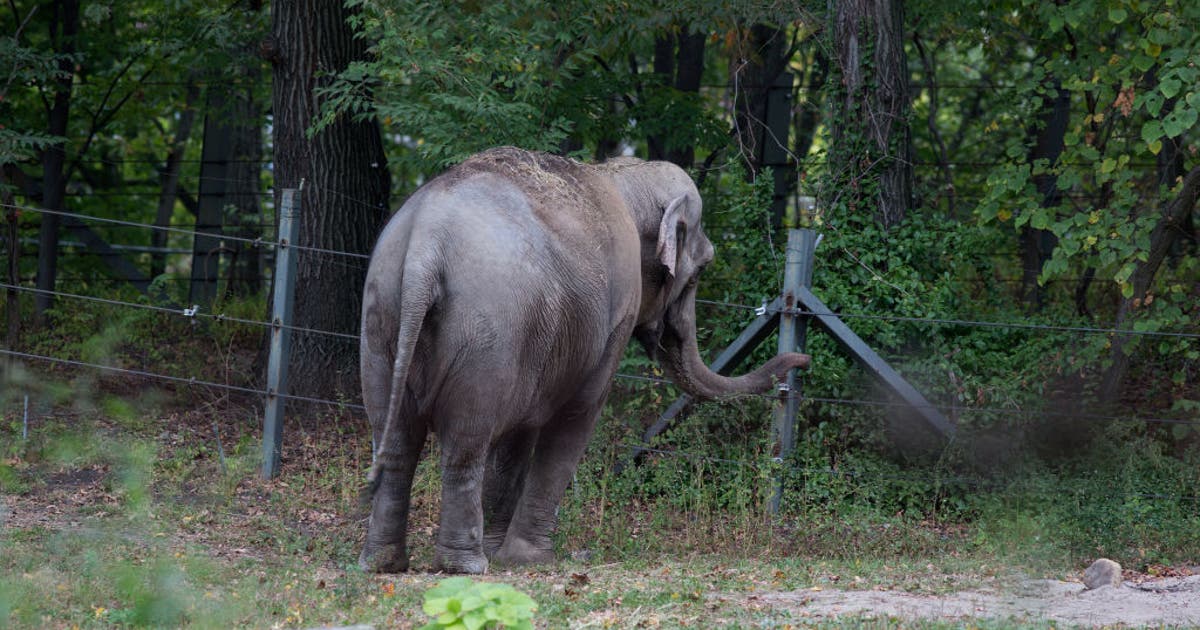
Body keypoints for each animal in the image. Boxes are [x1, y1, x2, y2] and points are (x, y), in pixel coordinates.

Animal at [358, 146, 810, 574]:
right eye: (700, 270)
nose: (801, 361)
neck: (624, 176)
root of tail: (426, 248)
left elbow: (519, 433)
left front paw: (503, 553)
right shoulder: (615, 312)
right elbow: (577, 415)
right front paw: (530, 558)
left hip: (381, 319)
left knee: (395, 440)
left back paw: (383, 562)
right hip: (485, 335)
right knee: (465, 444)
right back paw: (464, 565)